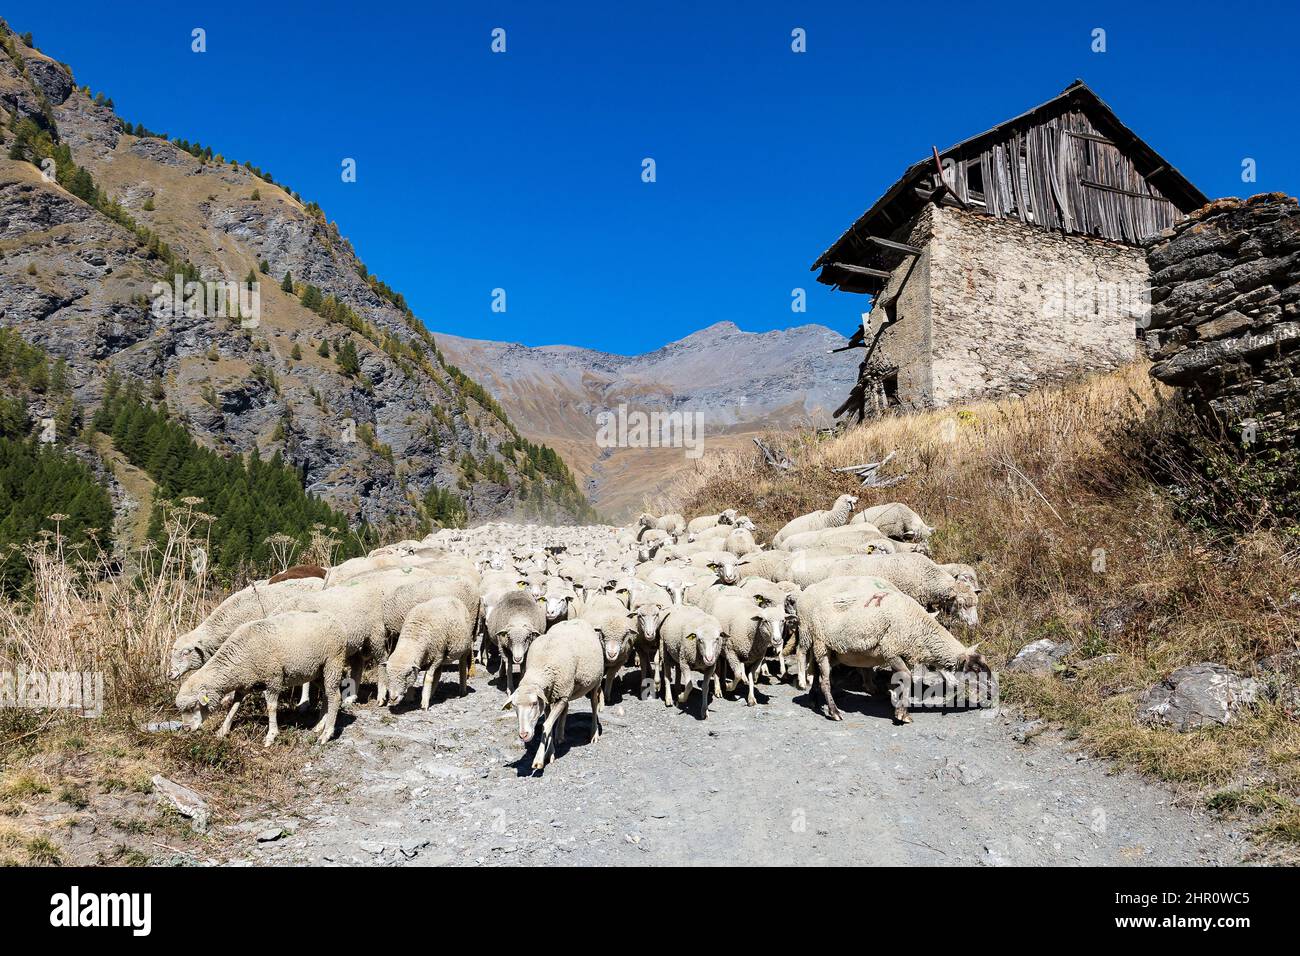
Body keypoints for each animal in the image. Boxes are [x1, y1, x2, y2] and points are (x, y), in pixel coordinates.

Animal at [175, 610, 349, 746]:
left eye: (192, 706)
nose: (187, 729)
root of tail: (336, 621)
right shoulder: (244, 684)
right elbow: (235, 705)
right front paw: (223, 730)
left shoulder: (274, 678)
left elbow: (271, 706)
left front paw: (271, 736)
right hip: (317, 671)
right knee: (327, 694)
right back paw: (319, 725)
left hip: (333, 662)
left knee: (335, 696)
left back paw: (326, 733)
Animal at [502, 620, 606, 772]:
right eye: (514, 706)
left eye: (534, 703)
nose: (523, 735)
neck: (540, 667)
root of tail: (577, 620)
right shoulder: (547, 698)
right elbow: (549, 725)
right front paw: (550, 753)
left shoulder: (559, 696)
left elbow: (546, 725)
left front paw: (539, 759)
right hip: (566, 690)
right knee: (566, 708)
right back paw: (560, 735)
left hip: (595, 682)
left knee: (593, 705)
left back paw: (594, 734)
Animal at [795, 577, 989, 723]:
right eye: (975, 669)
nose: (990, 691)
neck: (920, 628)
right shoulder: (891, 651)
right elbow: (907, 678)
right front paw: (903, 714)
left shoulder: (905, 654)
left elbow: (902, 681)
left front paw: (896, 704)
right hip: (821, 645)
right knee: (824, 681)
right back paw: (834, 711)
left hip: (831, 652)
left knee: (817, 675)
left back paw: (813, 700)